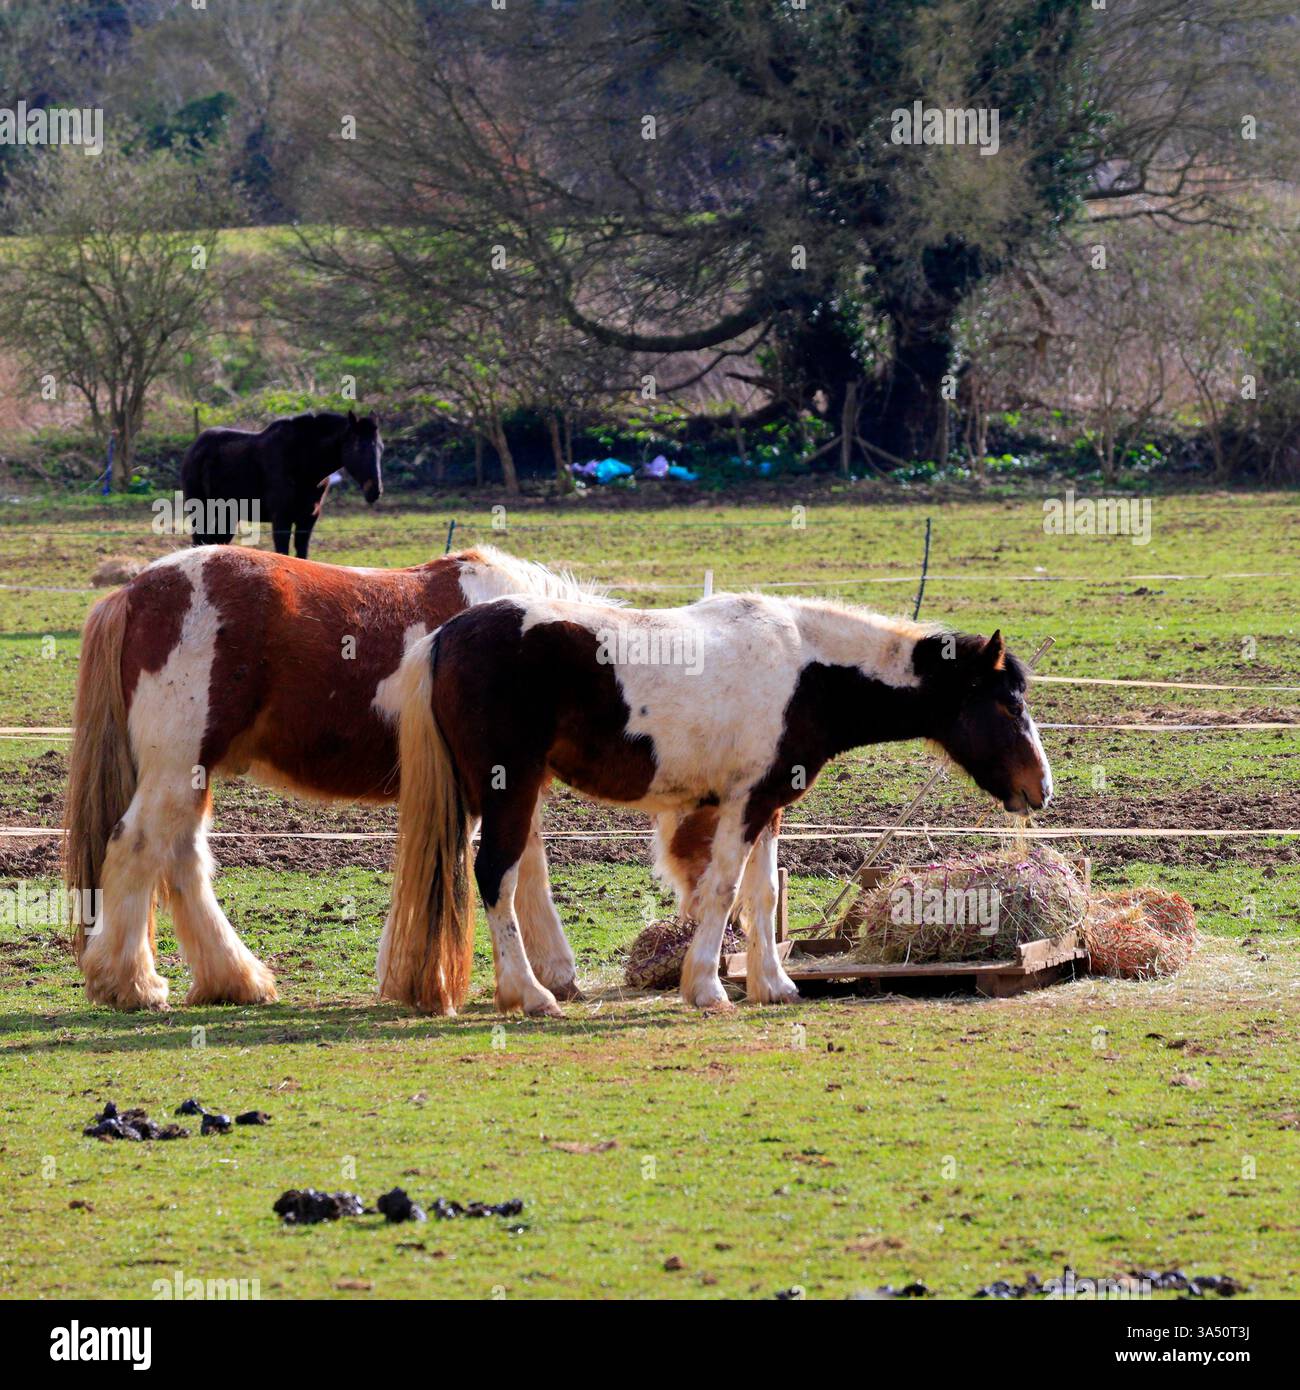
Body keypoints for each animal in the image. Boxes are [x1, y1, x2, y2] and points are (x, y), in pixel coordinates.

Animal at [63, 545, 614, 1012]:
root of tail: (134, 593)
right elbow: (511, 869)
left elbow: (523, 865)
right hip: (176, 767)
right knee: (137, 848)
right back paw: (131, 984)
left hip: (189, 774)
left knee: (182, 859)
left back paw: (235, 980)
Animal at [179, 410, 384, 558]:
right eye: (359, 447)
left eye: (381, 447)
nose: (375, 490)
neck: (302, 463)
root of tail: (195, 448)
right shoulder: (281, 519)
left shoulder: (308, 519)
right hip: (200, 511)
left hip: (227, 515)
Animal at [382, 593, 1053, 1017]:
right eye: (1008, 704)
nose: (1040, 789)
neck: (808, 670)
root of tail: (445, 636)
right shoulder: (746, 803)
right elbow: (723, 891)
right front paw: (706, 986)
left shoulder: (770, 804)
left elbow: (764, 894)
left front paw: (773, 986)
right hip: (509, 790)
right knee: (495, 876)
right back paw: (532, 996)